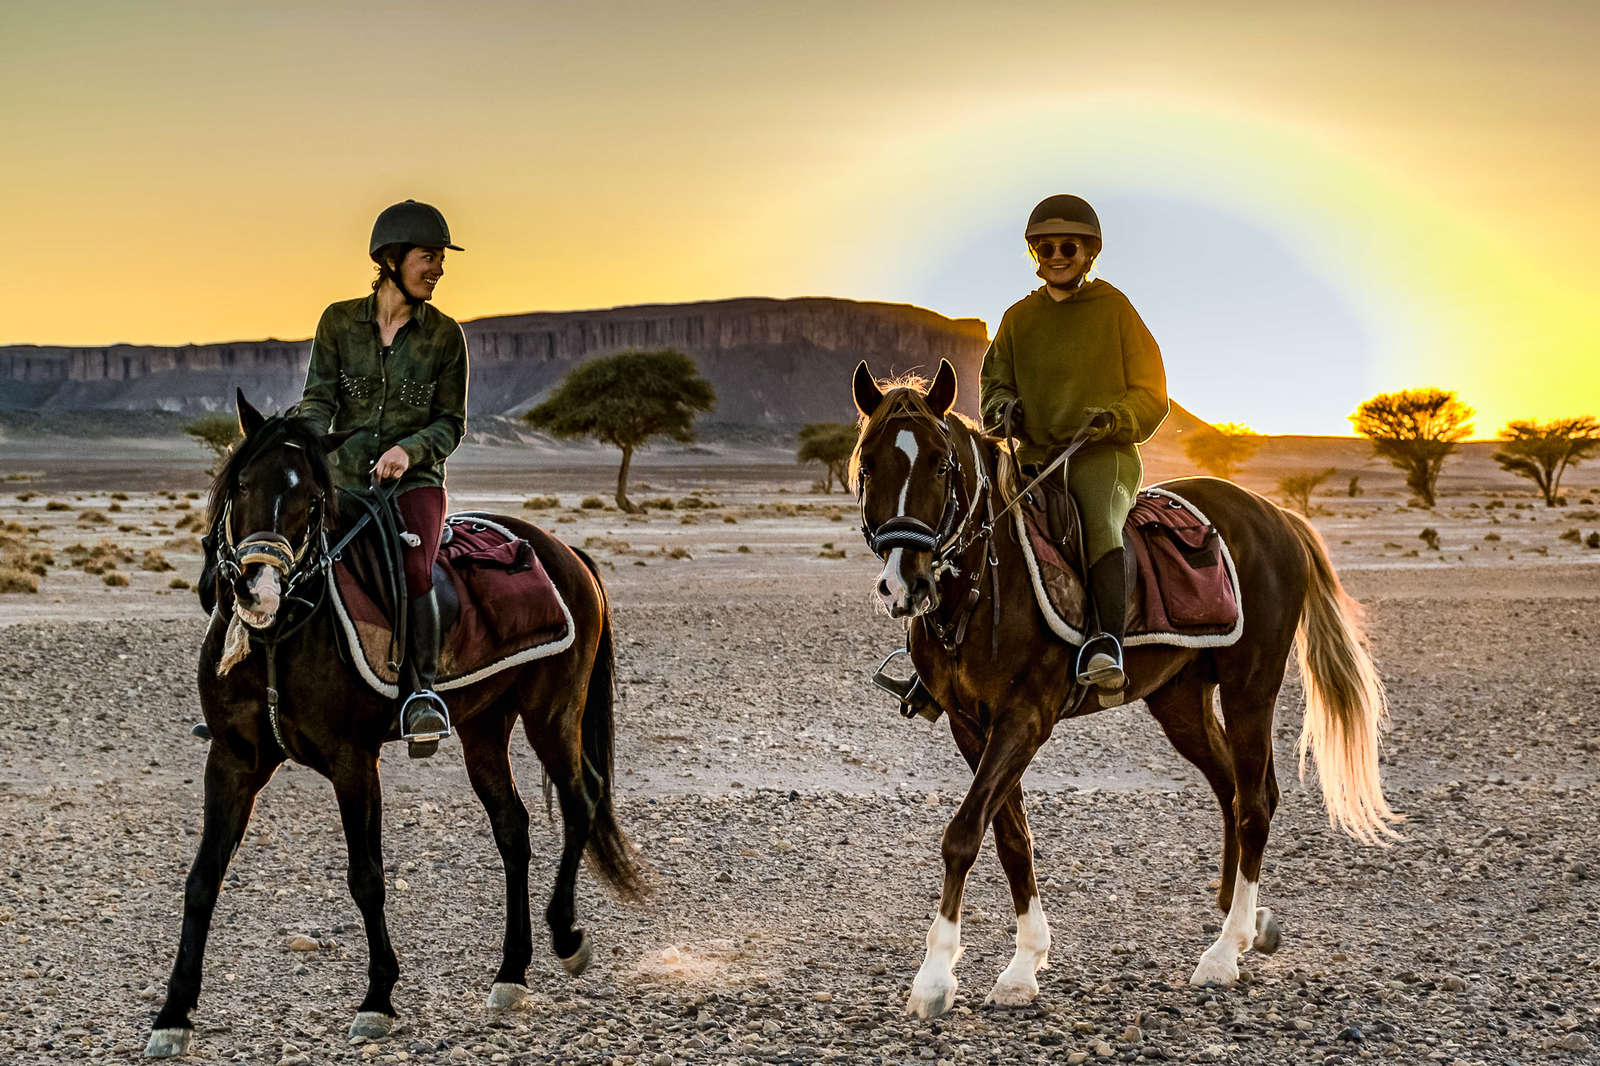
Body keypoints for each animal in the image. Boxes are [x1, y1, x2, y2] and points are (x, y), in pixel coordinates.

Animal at [145, 392, 643, 1058]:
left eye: (314, 502)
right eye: (243, 482)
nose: (258, 587)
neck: (282, 635)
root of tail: (565, 554)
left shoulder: (353, 762)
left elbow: (367, 877)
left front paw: (377, 999)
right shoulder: (231, 760)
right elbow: (202, 879)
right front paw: (173, 1015)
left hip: (552, 714)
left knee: (581, 800)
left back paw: (566, 938)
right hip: (485, 726)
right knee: (513, 828)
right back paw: (511, 973)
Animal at [849, 360, 1398, 1019]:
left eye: (939, 464)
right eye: (868, 464)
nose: (903, 583)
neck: (984, 587)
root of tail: (1275, 516)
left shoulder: (1025, 718)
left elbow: (963, 834)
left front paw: (934, 978)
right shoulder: (970, 725)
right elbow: (1010, 838)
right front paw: (1024, 965)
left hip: (1250, 687)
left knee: (1255, 802)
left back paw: (1224, 952)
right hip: (1180, 698)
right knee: (1232, 789)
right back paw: (1242, 926)